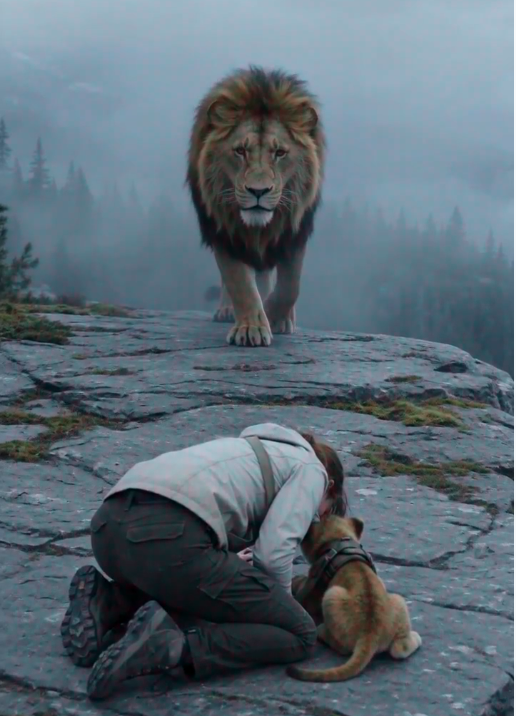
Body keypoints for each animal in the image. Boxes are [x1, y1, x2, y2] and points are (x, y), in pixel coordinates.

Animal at [186, 65, 326, 347]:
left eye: (280, 153)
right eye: (240, 151)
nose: (258, 191)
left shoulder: (294, 228)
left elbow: (290, 286)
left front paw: (274, 315)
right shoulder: (223, 229)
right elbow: (239, 282)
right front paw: (251, 327)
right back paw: (227, 310)